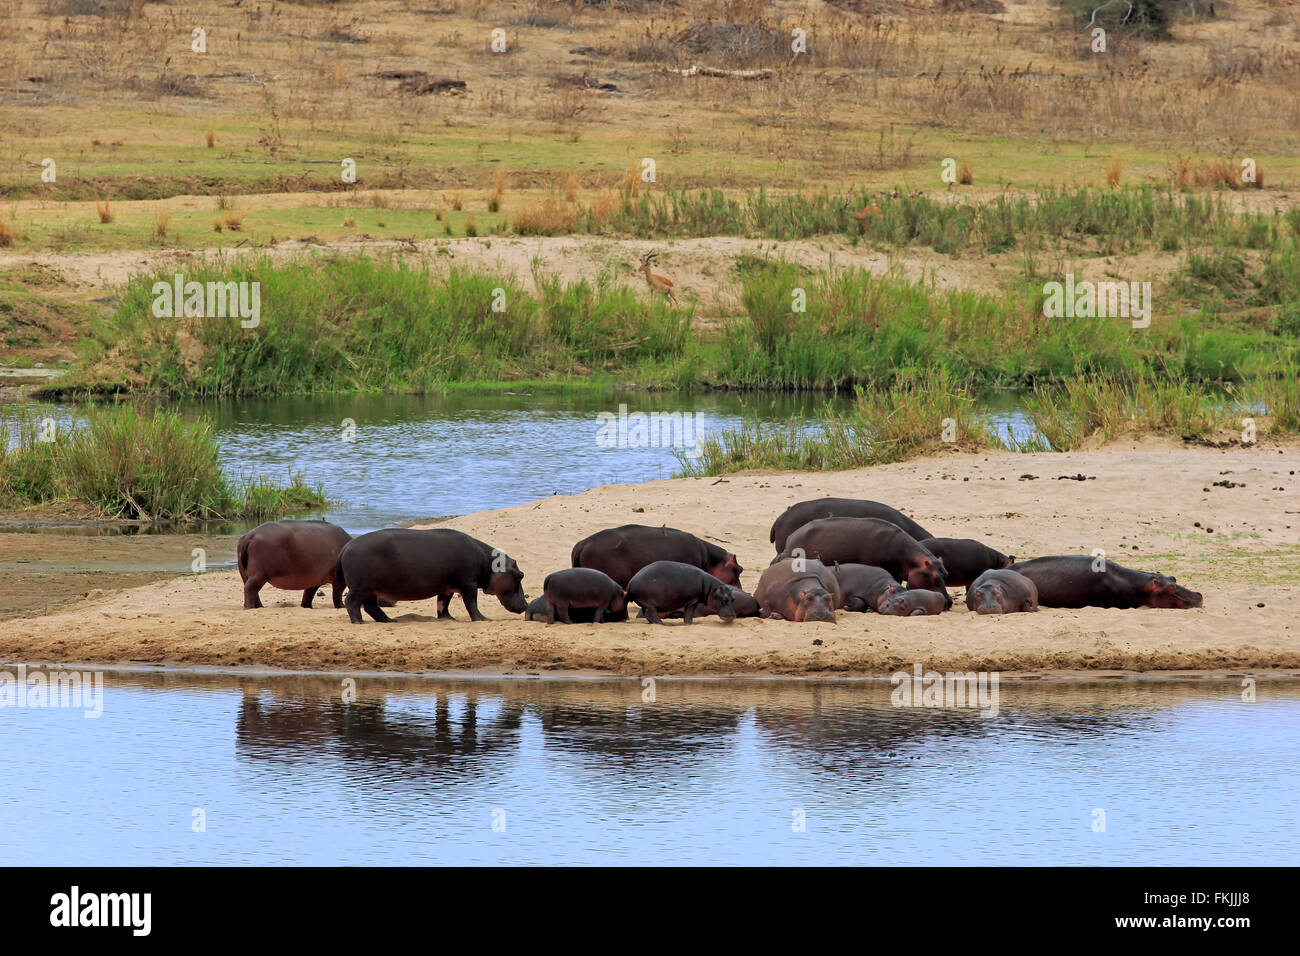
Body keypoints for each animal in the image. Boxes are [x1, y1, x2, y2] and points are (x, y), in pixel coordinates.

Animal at [337, 528, 527, 623]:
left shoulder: (448, 587)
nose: (525, 604)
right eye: (520, 575)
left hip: (371, 589)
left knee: (371, 607)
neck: (489, 563)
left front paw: (448, 618)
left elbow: (443, 603)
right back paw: (358, 621)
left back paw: (389, 621)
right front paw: (483, 619)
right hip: (361, 587)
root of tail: (346, 547)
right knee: (352, 602)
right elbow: (471, 603)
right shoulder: (469, 584)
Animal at [779, 517, 949, 602]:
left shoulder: (897, 573)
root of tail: (791, 537)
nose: (948, 602)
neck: (909, 558)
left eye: (945, 574)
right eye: (935, 577)